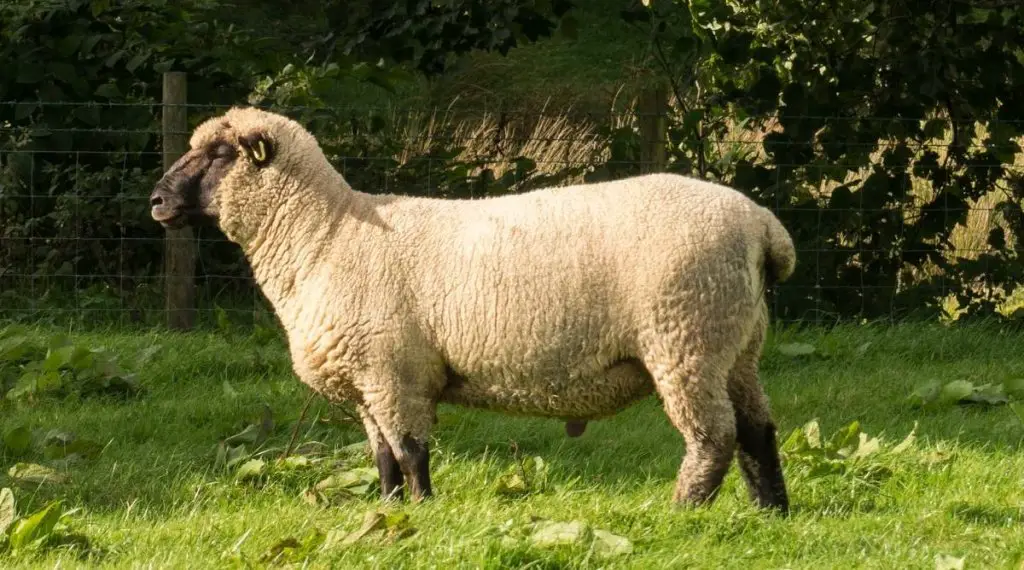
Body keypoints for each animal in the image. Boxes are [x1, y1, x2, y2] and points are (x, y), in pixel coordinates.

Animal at [149, 106, 796, 513]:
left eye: (219, 152)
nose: (155, 201)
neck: (326, 236)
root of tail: (763, 227)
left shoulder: (394, 374)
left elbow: (411, 452)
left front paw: (421, 511)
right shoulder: (371, 382)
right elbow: (382, 456)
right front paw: (389, 513)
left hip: (685, 337)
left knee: (714, 437)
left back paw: (683, 511)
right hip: (735, 347)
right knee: (758, 431)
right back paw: (770, 513)